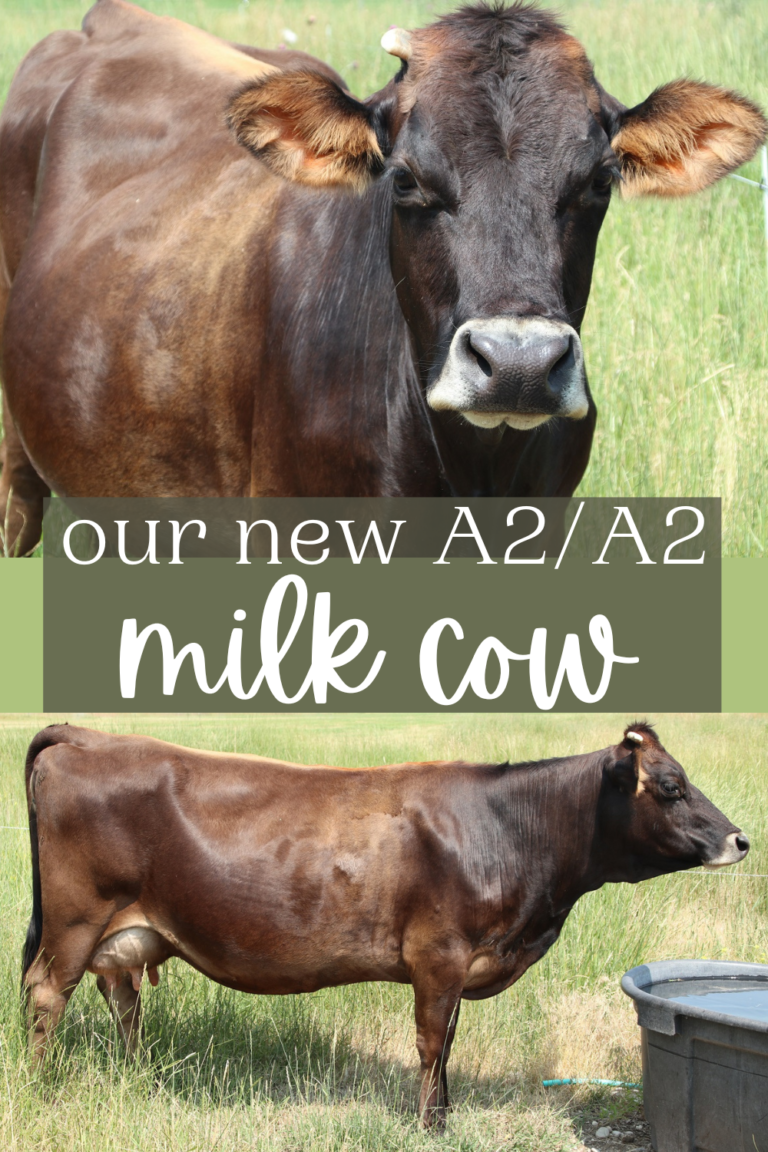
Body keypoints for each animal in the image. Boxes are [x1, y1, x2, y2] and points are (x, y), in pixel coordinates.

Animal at [22, 721, 748, 1126]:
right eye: (672, 786)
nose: (740, 839)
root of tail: (86, 735)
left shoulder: (456, 966)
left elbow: (448, 1044)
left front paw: (446, 1116)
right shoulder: (440, 954)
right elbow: (430, 1045)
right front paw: (430, 1126)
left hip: (122, 930)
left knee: (121, 999)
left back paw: (135, 1079)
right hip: (74, 919)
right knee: (45, 996)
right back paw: (39, 1085)